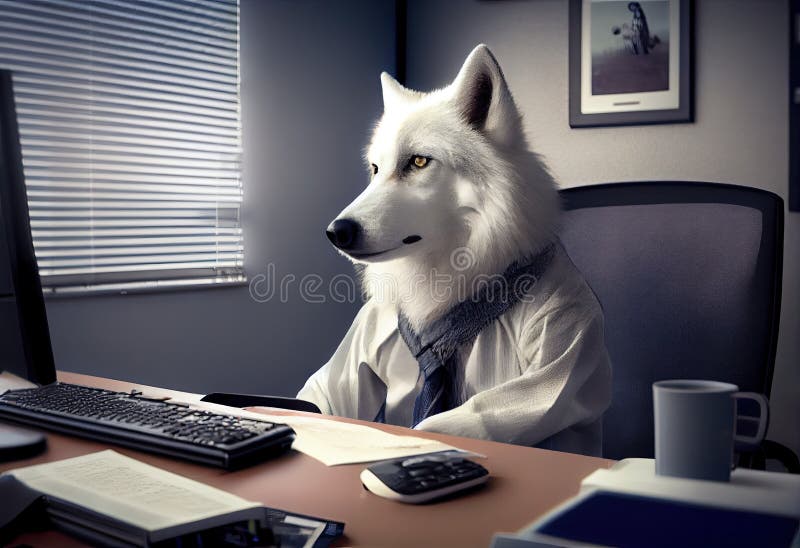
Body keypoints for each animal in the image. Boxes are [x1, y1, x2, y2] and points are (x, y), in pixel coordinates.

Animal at [298, 45, 612, 456]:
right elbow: (321, 398)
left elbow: (453, 419)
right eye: (376, 169)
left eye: (418, 161)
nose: (336, 232)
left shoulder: (559, 339)